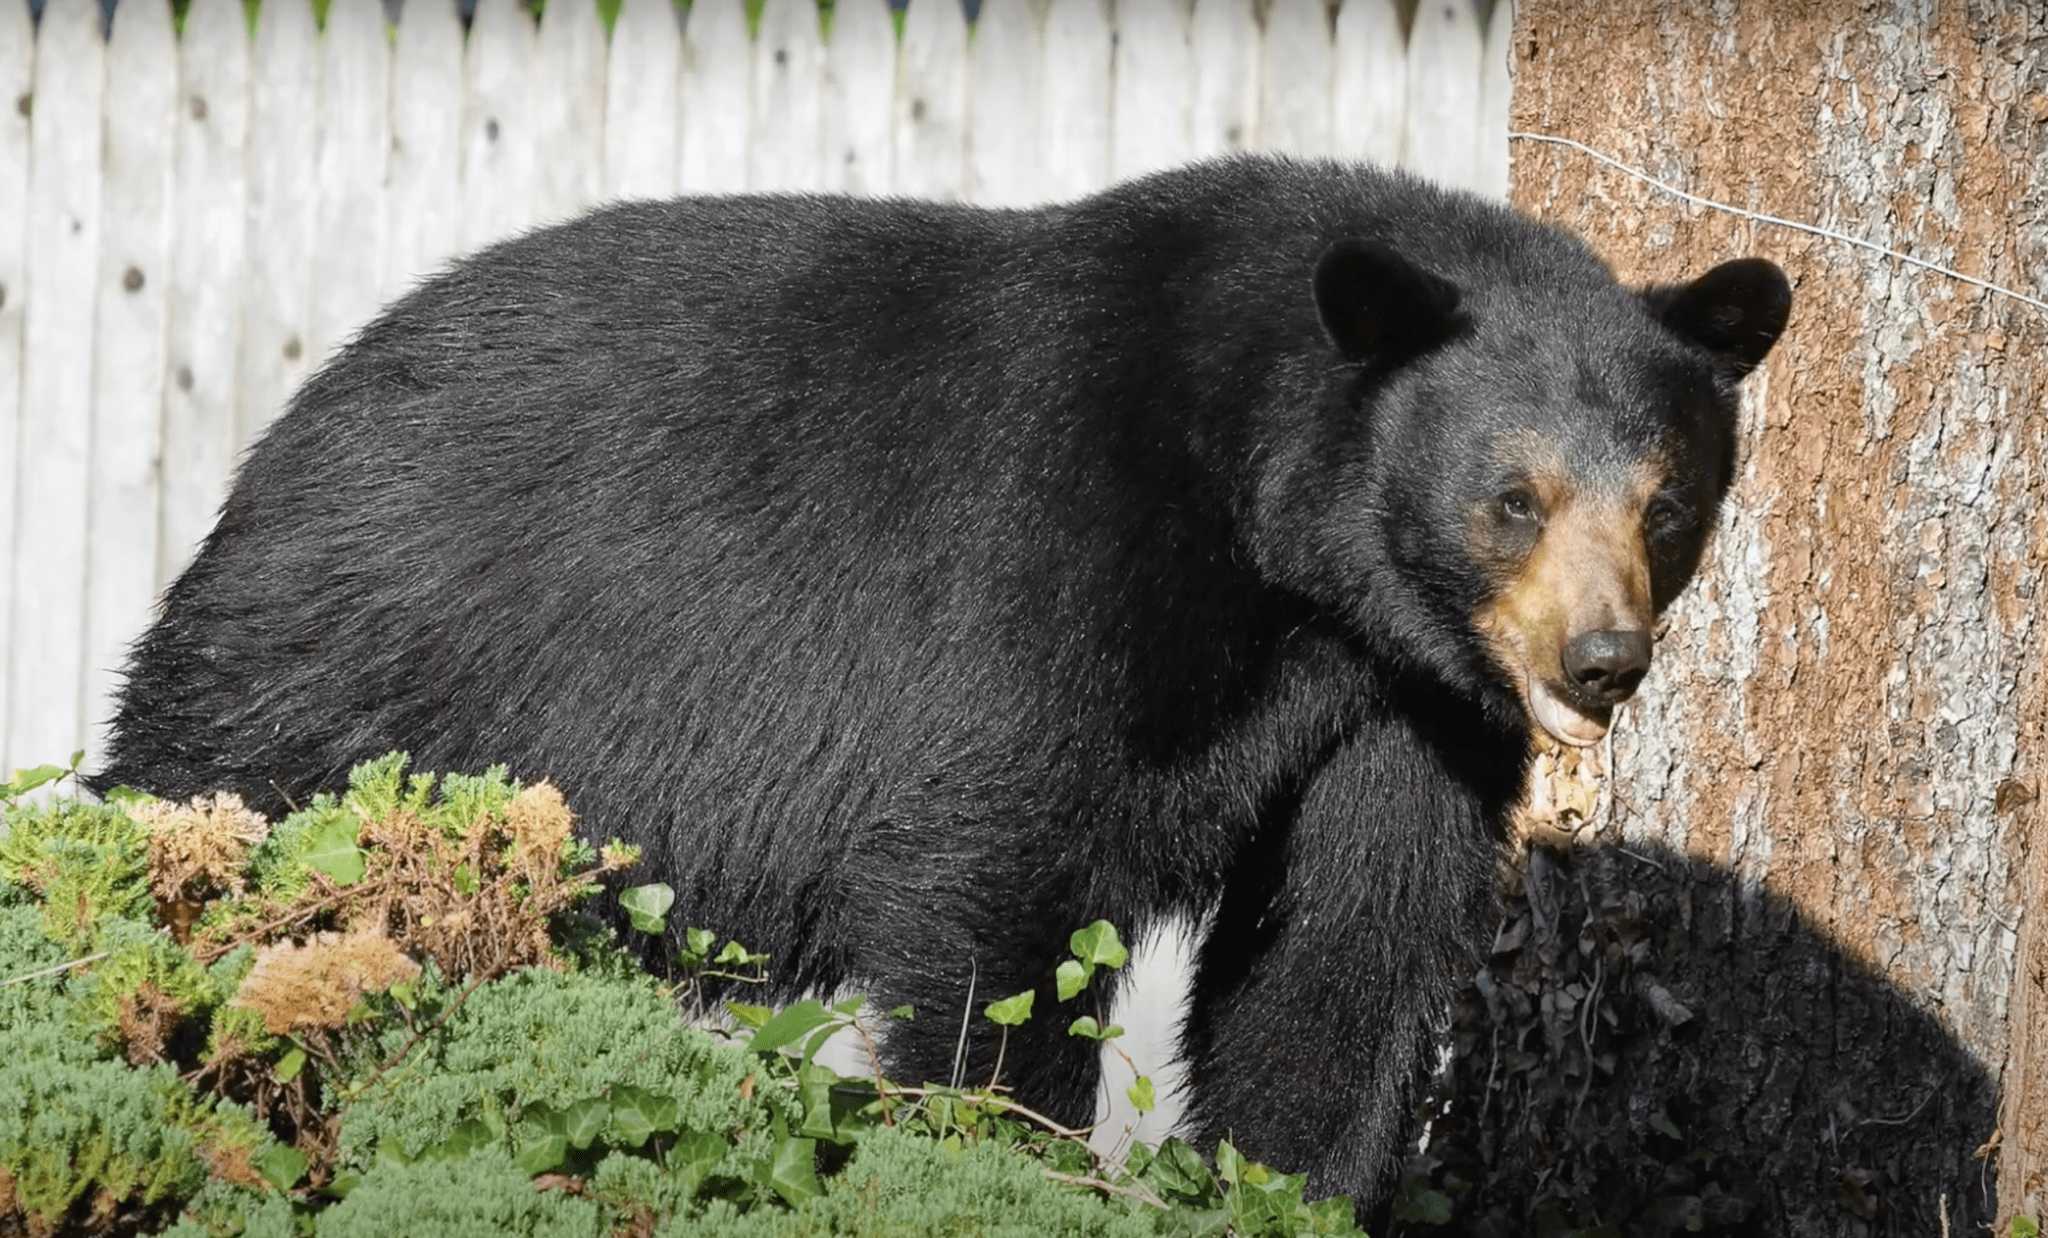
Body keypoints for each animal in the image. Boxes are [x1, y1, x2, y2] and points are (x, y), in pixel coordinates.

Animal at [92, 155, 1789, 1207]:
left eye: (1666, 502)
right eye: (1511, 495)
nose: (1601, 662)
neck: (1294, 555)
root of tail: (287, 435)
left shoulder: (1404, 701)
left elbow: (1348, 940)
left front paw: (1283, 1183)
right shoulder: (1056, 555)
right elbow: (1004, 885)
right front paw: (1002, 1158)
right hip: (353, 669)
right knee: (205, 806)